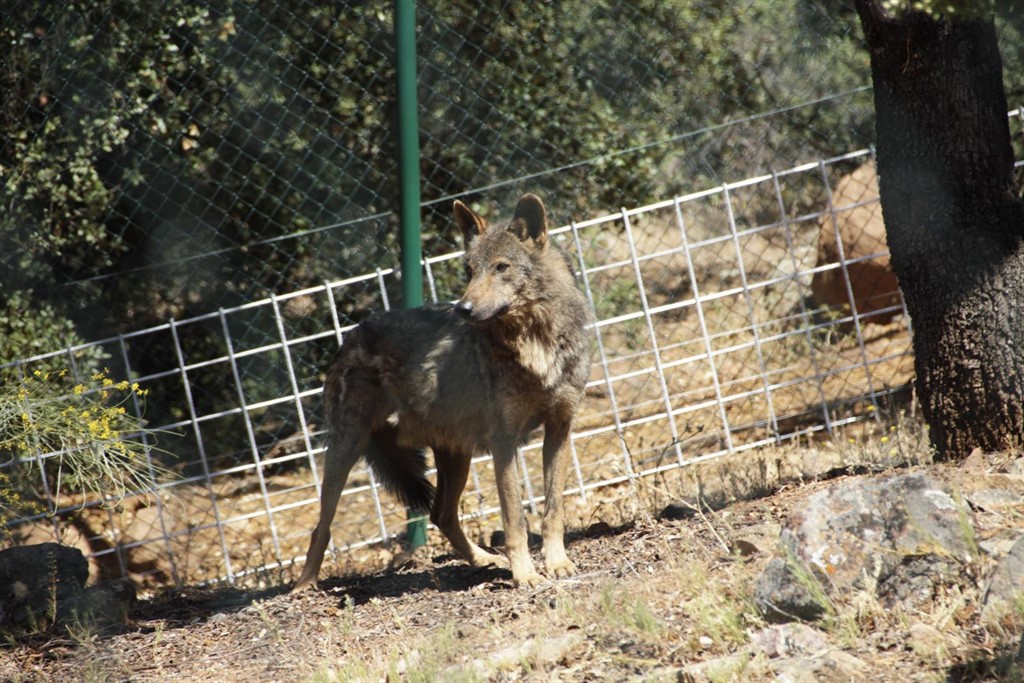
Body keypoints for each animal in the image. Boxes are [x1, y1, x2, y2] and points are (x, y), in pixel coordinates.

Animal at [293, 193, 592, 591]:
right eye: (469, 270)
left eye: (501, 267)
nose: (463, 309)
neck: (534, 341)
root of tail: (351, 336)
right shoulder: (504, 441)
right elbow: (514, 518)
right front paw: (525, 575)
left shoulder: (560, 429)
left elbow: (553, 508)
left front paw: (557, 563)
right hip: (345, 451)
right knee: (321, 527)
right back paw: (303, 587)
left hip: (456, 456)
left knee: (441, 514)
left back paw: (484, 560)